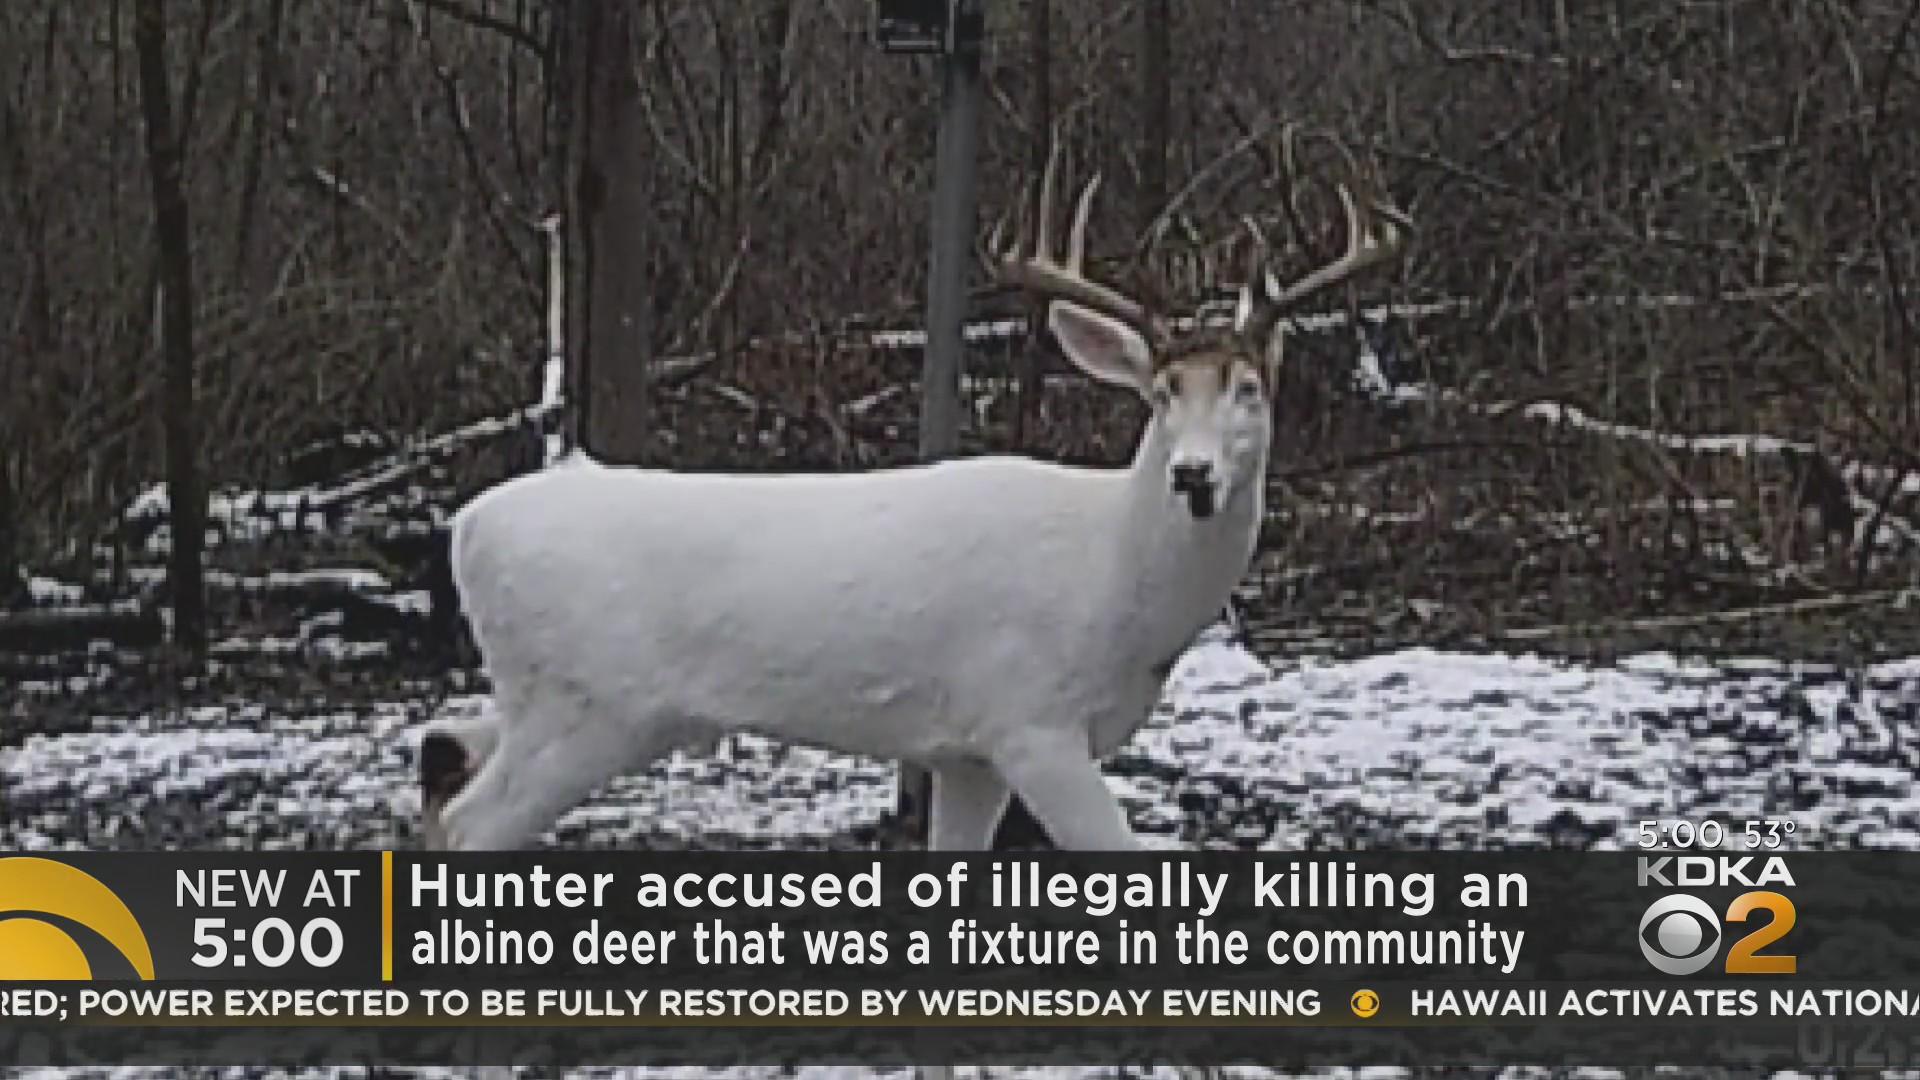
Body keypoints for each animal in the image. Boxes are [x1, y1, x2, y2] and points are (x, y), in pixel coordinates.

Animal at [418, 143, 1408, 1078]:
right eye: (1163, 395)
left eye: (1249, 388)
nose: (1193, 475)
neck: (1112, 583)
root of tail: (467, 527)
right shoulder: (1031, 722)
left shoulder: (967, 750)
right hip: (588, 708)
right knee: (470, 829)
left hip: (539, 702)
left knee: (444, 776)